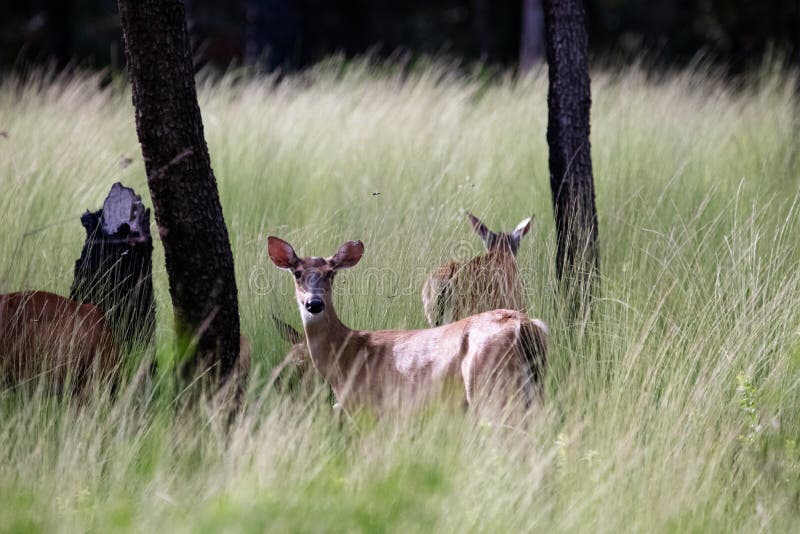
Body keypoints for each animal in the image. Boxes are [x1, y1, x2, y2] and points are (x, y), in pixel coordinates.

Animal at [267, 236, 547, 417]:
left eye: (331, 273)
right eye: (297, 273)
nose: (314, 303)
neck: (347, 355)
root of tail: (525, 325)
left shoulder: (374, 409)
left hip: (491, 385)